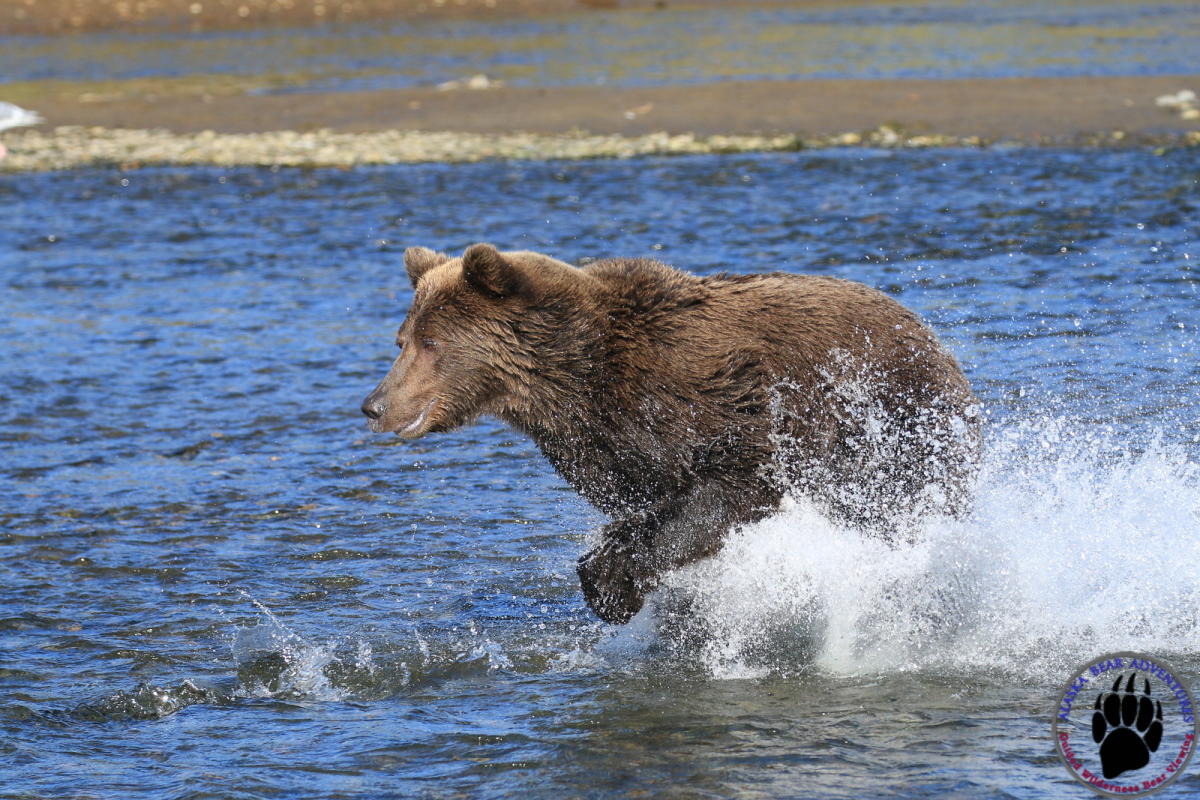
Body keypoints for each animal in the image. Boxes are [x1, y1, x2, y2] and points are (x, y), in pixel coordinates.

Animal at [362, 243, 981, 624]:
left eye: (431, 342)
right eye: (402, 339)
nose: (374, 405)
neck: (572, 376)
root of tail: (929, 334)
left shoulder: (711, 401)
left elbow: (728, 486)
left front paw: (619, 581)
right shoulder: (608, 445)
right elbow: (639, 503)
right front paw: (607, 577)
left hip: (895, 418)